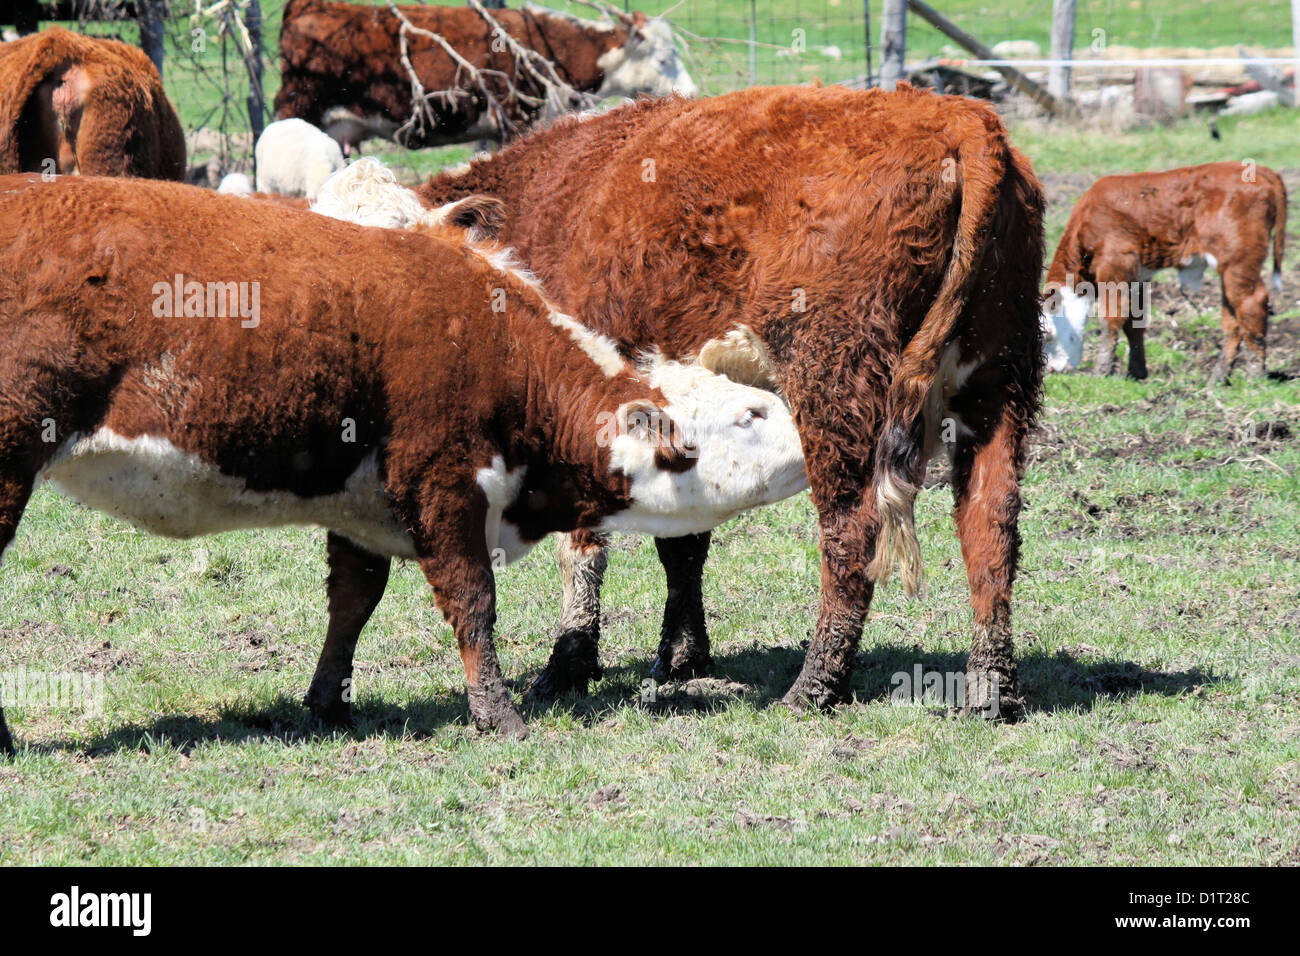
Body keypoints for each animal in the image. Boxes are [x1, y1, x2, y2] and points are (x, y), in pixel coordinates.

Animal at [0, 173, 808, 753]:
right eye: (753, 413)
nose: (814, 440)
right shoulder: (444, 484)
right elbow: (474, 602)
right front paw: (498, 717)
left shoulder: (362, 504)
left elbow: (353, 601)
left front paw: (327, 704)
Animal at [409, 84, 1047, 721]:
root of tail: (956, 117)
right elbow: (683, 541)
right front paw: (683, 654)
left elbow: (585, 546)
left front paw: (569, 663)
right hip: (998, 383)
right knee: (990, 521)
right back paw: (991, 687)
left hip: (836, 382)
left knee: (853, 528)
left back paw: (814, 684)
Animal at [1041, 161, 1288, 382]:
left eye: (1047, 335)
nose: (1052, 370)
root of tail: (1264, 172)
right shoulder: (1139, 276)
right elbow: (1134, 322)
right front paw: (1137, 372)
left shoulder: (1115, 265)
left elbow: (1110, 319)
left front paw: (1102, 371)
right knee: (1232, 318)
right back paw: (1218, 377)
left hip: (1239, 263)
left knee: (1252, 303)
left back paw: (1255, 374)